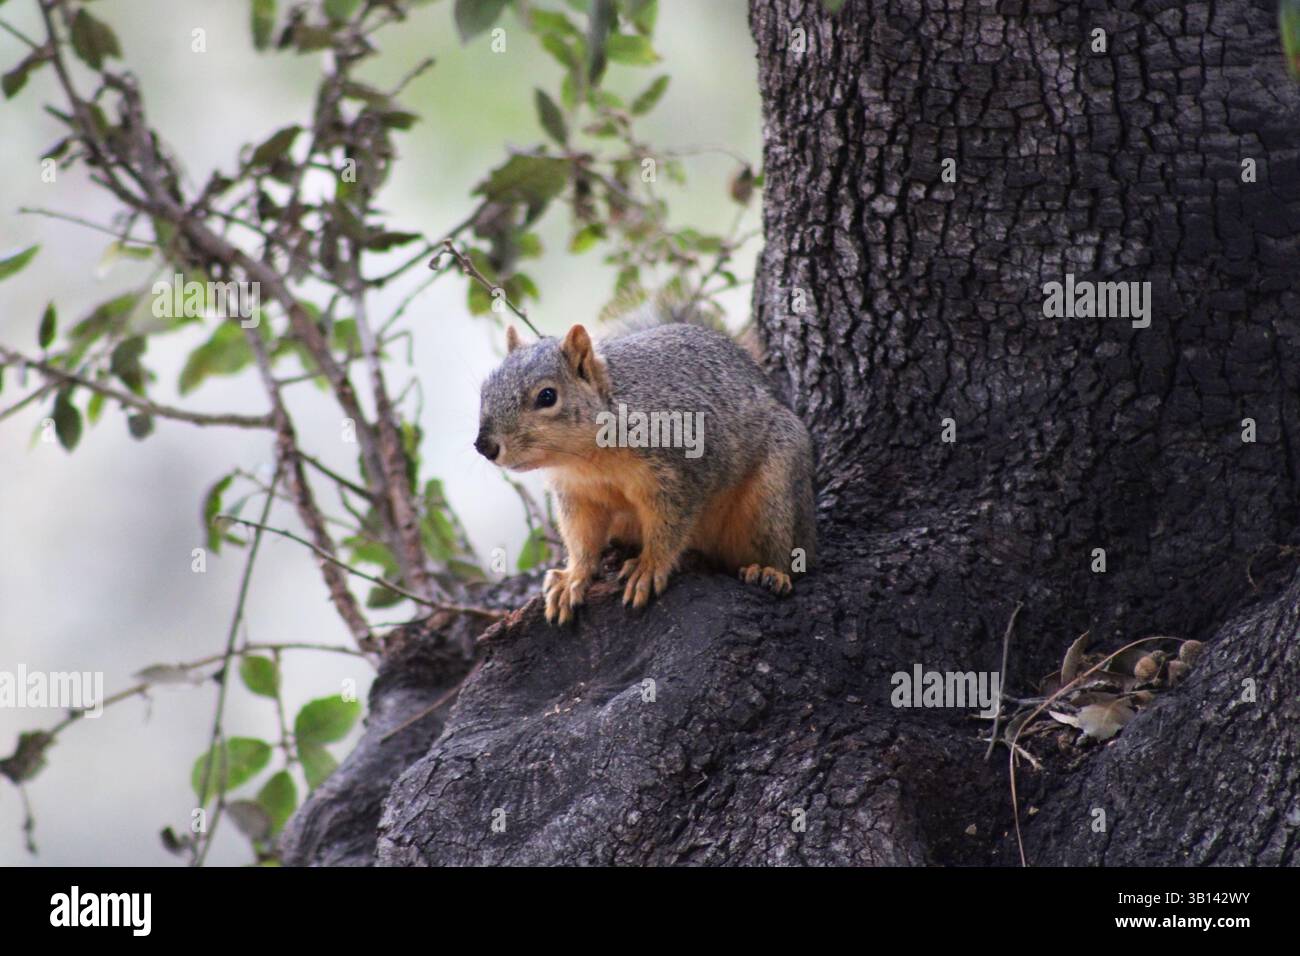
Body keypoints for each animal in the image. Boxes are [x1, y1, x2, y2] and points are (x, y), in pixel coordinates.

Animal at [475, 306, 816, 625]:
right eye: (484, 391)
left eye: (547, 396)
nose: (485, 446)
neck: (588, 456)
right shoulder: (577, 494)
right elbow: (582, 538)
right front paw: (573, 577)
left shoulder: (681, 470)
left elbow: (669, 526)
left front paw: (649, 567)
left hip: (773, 488)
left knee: (780, 544)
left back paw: (770, 571)